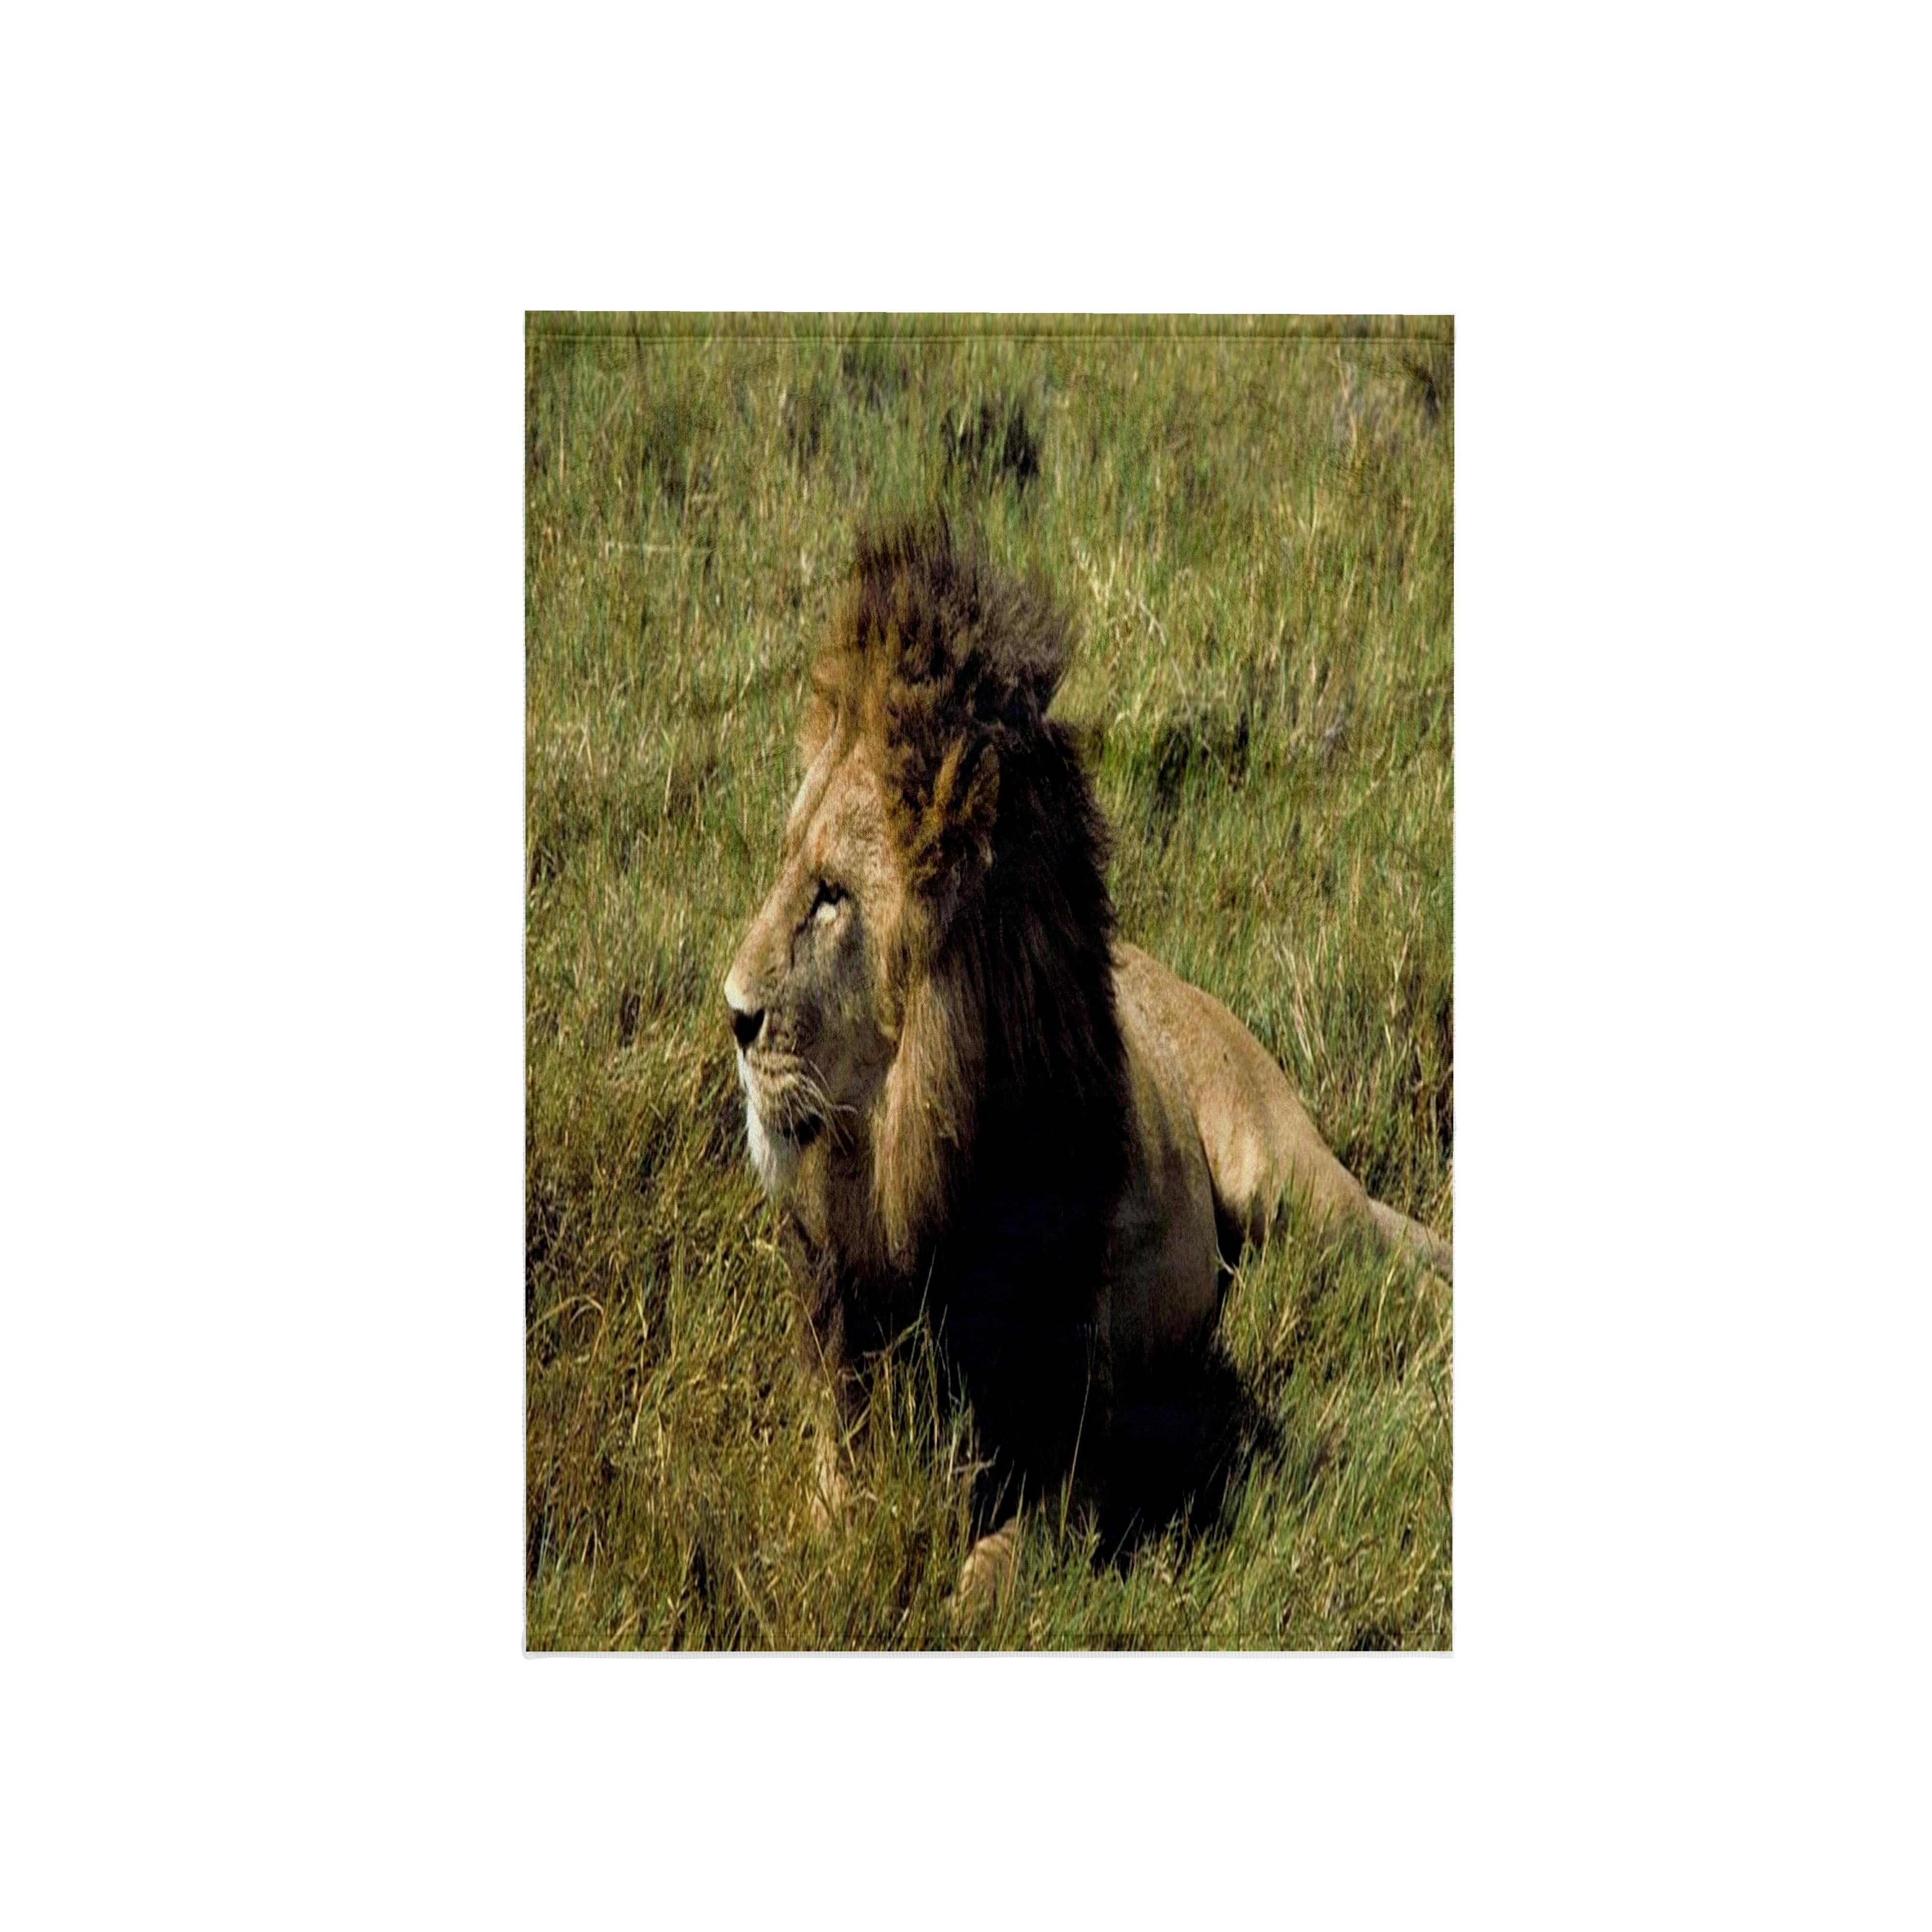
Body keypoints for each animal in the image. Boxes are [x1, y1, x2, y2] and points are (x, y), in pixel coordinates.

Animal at [723, 515, 1450, 1603]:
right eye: (785, 872)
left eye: (831, 896)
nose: (732, 1015)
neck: (912, 1176)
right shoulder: (843, 1378)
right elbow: (828, 1517)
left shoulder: (1082, 1451)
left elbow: (993, 1577)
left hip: (1288, 1185)